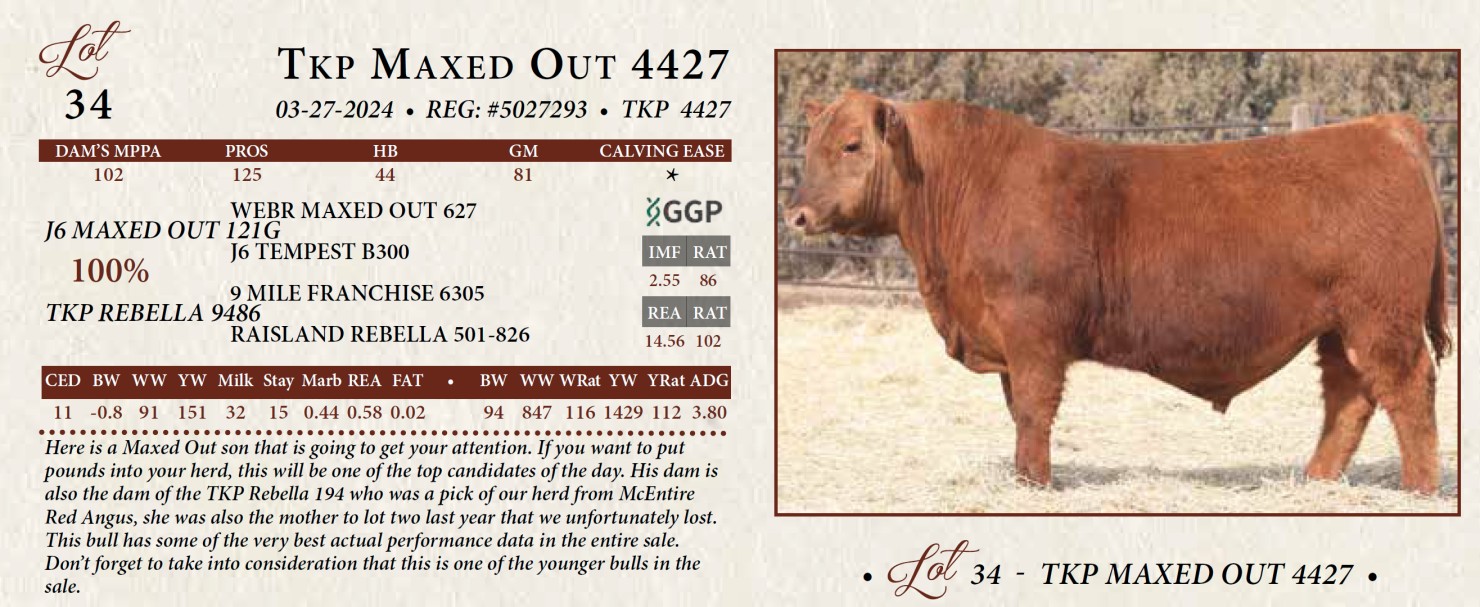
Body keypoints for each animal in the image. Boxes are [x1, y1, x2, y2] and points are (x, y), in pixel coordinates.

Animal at [784, 90, 1452, 494]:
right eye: (812, 143)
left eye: (851, 144)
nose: (795, 214)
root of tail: (1385, 127)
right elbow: (1018, 411)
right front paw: (1025, 480)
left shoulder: (1033, 334)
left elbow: (1034, 409)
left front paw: (1036, 485)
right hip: (1341, 326)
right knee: (1349, 397)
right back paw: (1315, 480)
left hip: (1382, 317)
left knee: (1407, 389)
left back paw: (1418, 490)